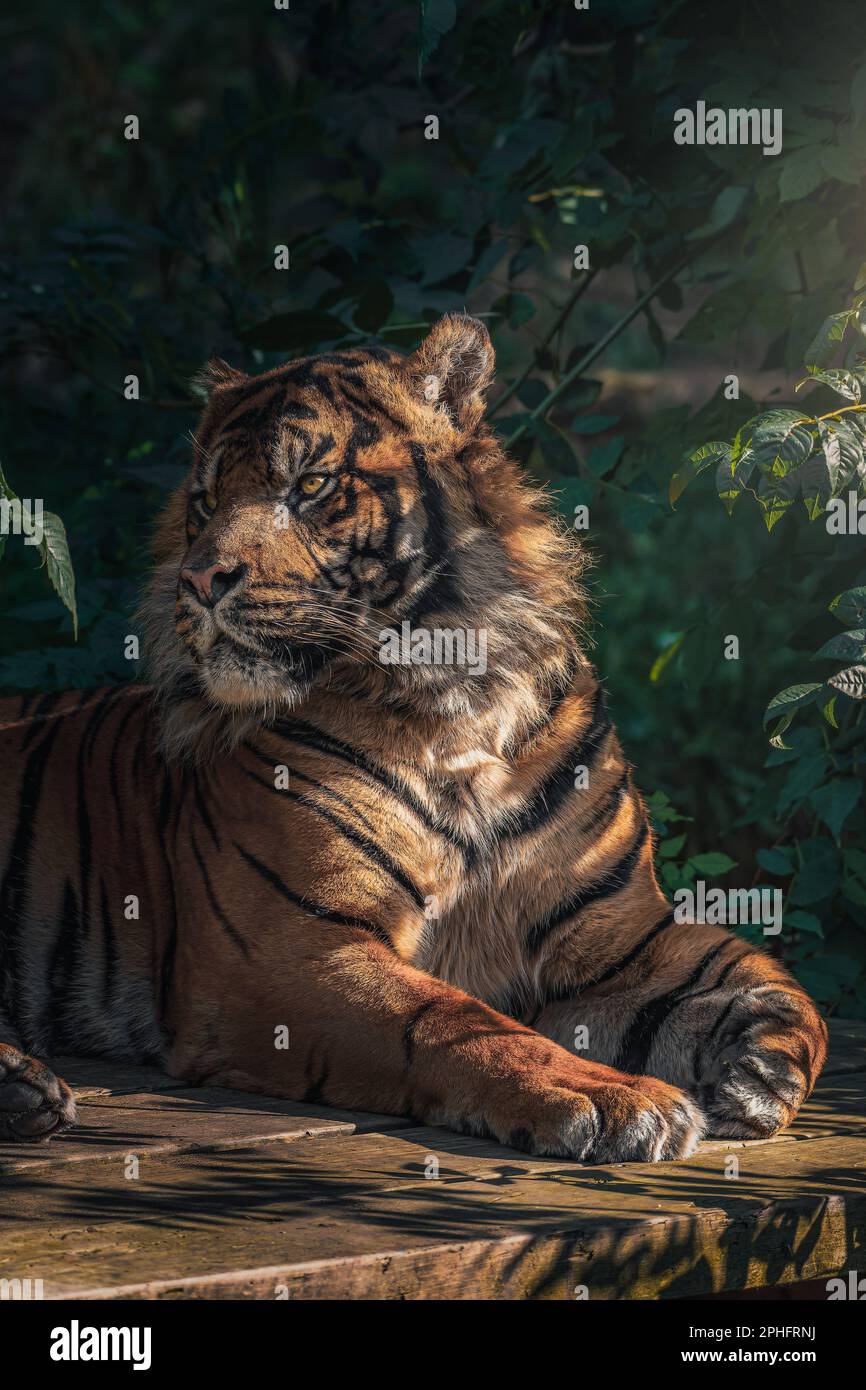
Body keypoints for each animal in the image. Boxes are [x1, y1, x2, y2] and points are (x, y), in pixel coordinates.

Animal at [0, 313, 827, 1161]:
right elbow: (453, 1020)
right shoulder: (286, 945)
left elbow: (781, 988)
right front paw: (616, 1098)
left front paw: (757, 1067)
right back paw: (26, 1087)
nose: (199, 581)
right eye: (205, 498)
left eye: (309, 486)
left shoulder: (623, 929)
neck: (456, 706)